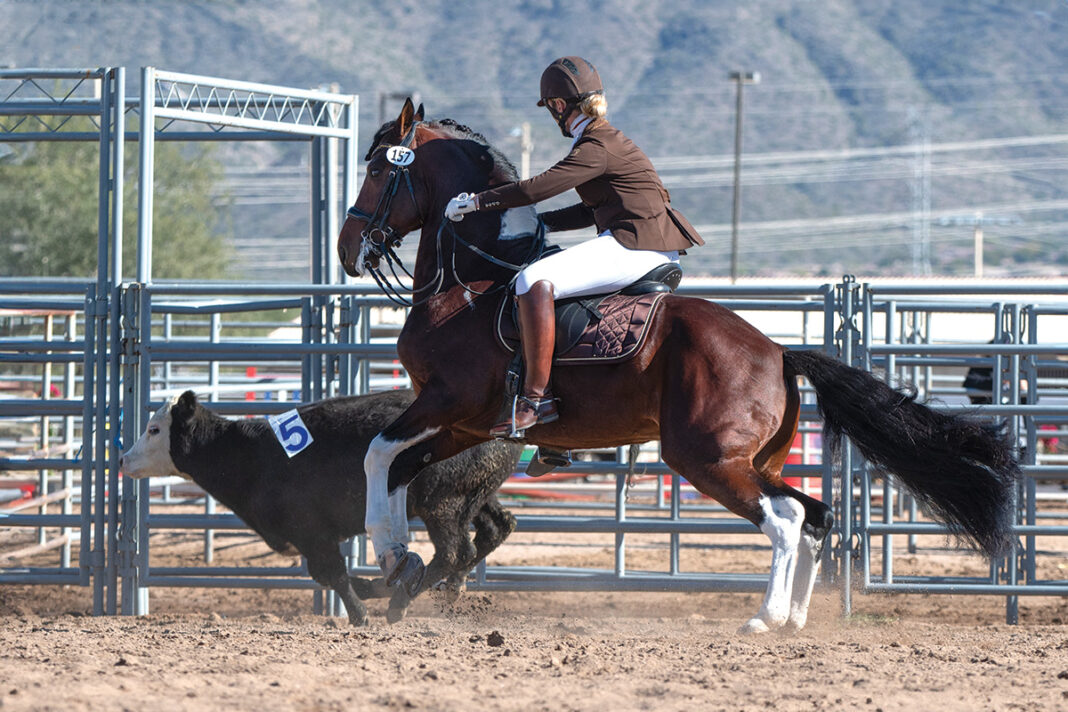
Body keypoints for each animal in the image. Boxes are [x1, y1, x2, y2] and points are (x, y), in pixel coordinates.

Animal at [336, 98, 1022, 633]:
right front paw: (397, 561)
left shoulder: (446, 403)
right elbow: (396, 469)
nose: (346, 250)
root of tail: (778, 352)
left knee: (786, 520)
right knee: (815, 516)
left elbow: (375, 453)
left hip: (705, 458)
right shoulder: (464, 423)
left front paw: (393, 557)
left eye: (377, 168)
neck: (472, 282)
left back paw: (765, 618)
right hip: (752, 460)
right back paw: (797, 617)